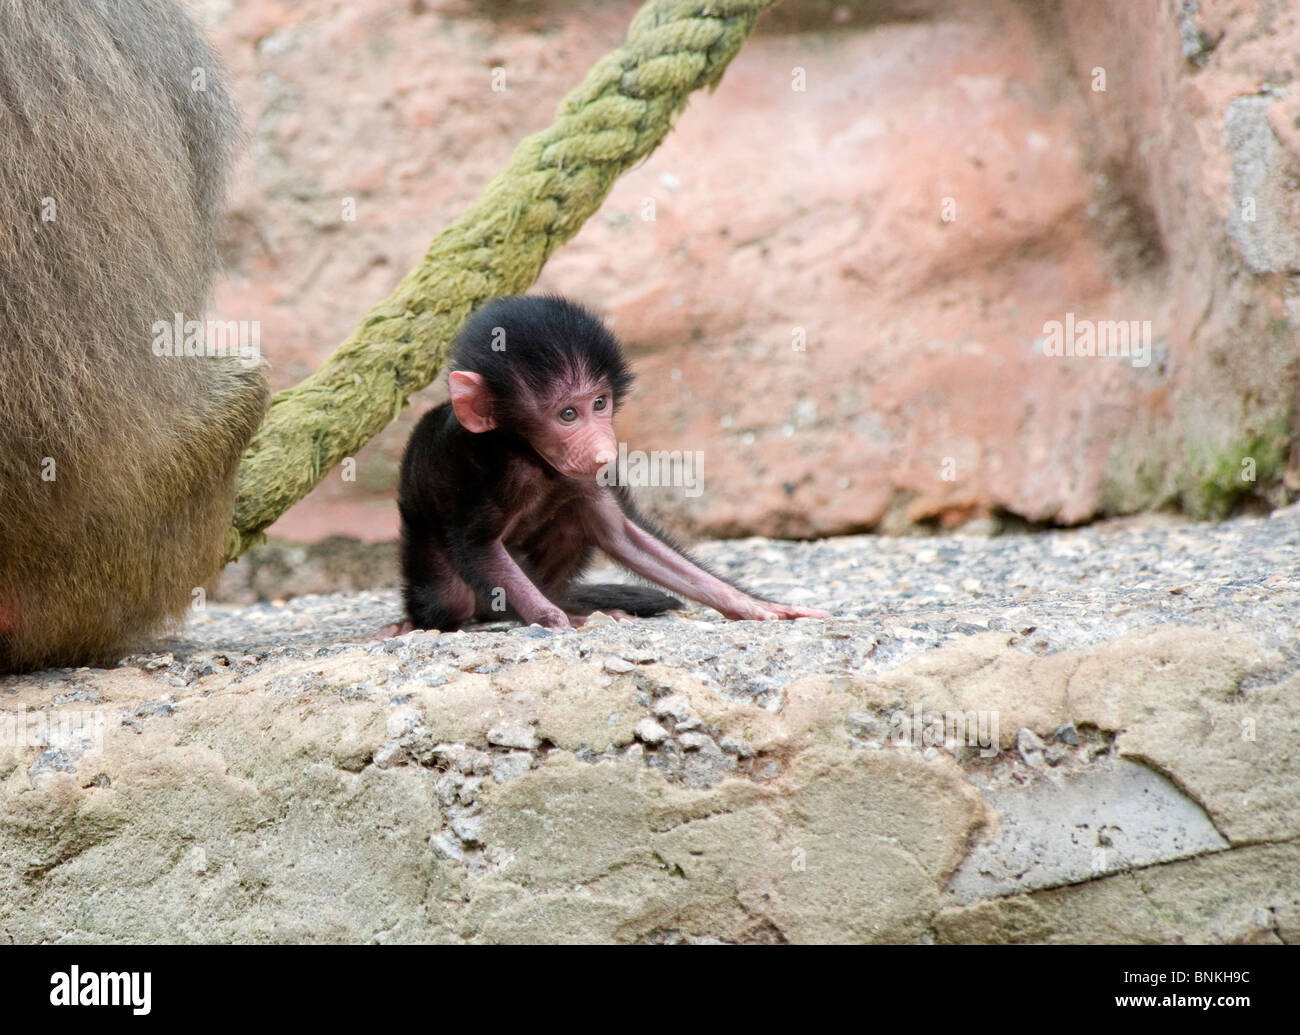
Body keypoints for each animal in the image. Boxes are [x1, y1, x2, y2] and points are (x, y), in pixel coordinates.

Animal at [392, 295, 830, 634]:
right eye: (568, 415)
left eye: (600, 403)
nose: (603, 450)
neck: (532, 456)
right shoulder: (491, 470)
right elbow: (478, 544)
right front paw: (557, 621)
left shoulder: (582, 475)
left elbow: (622, 534)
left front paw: (749, 603)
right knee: (451, 599)